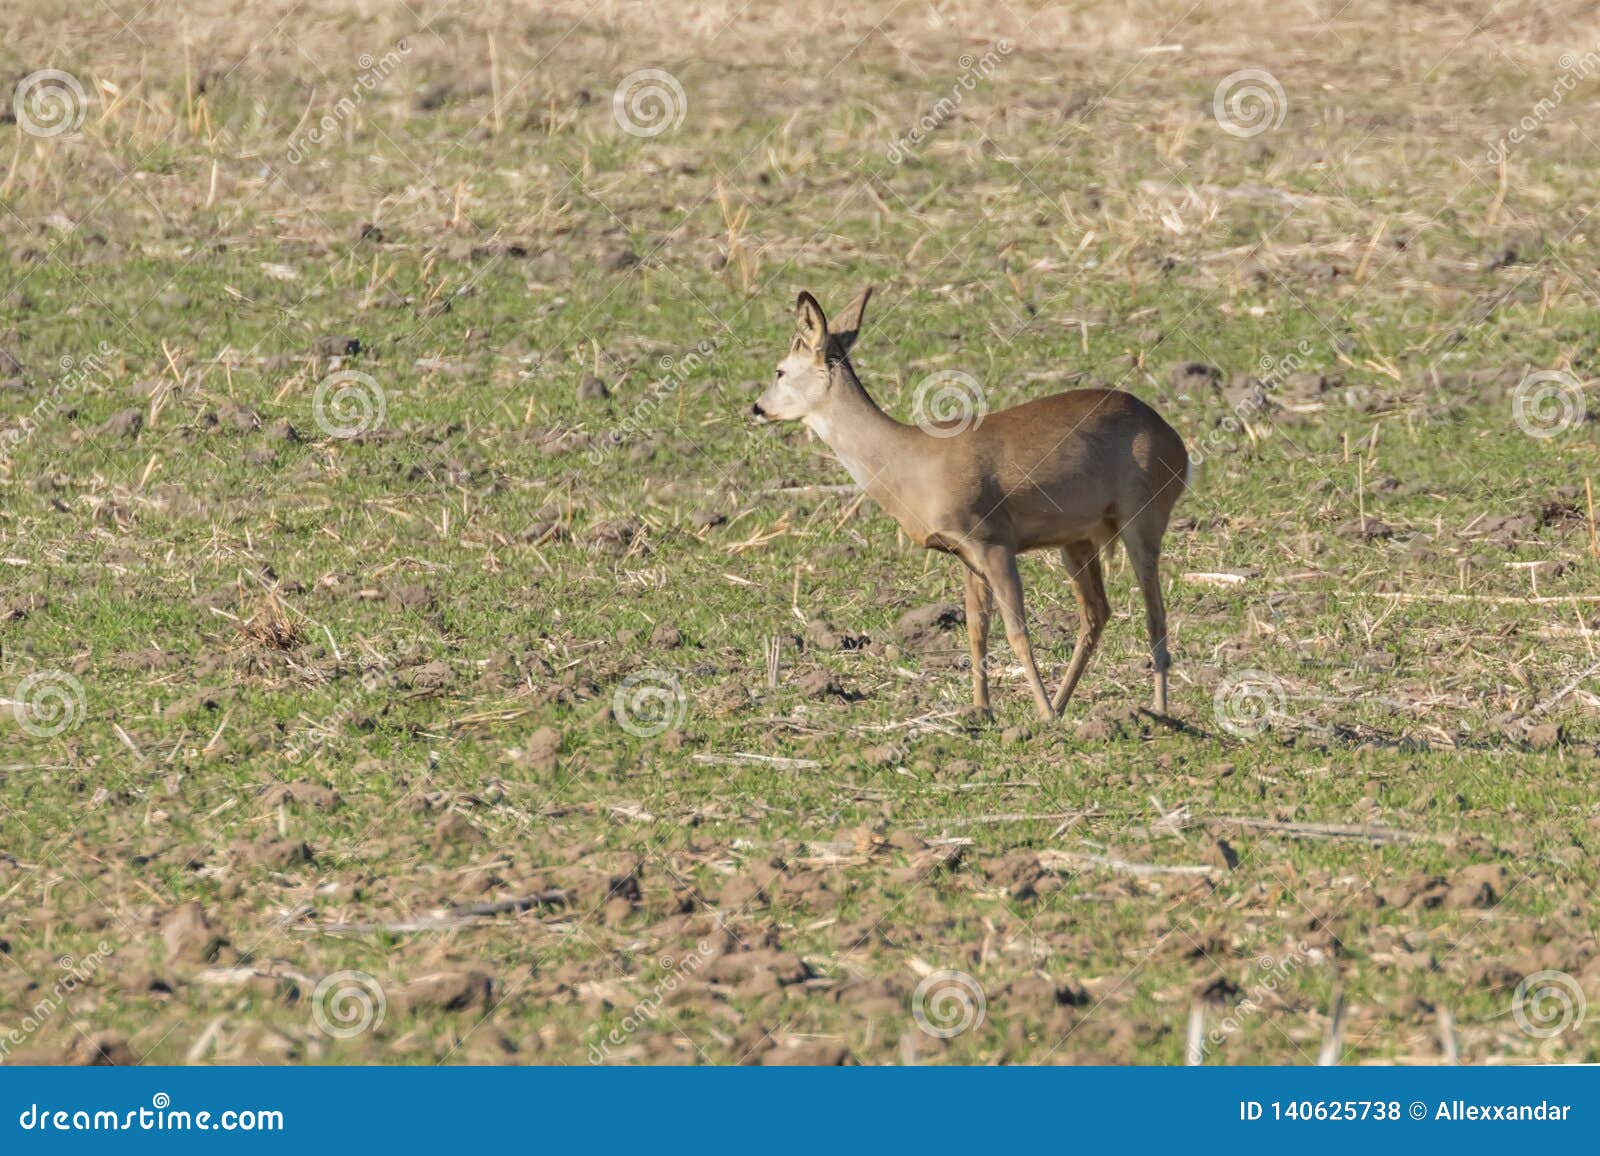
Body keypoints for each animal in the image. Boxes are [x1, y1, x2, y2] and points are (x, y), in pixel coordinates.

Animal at [753, 288, 1190, 723]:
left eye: (780, 370)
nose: (756, 408)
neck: (909, 462)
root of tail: (1178, 446)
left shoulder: (993, 540)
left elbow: (1017, 631)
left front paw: (1041, 714)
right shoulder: (965, 554)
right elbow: (977, 630)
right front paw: (981, 709)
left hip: (1143, 516)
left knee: (1154, 613)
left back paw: (1156, 710)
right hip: (1077, 539)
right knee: (1097, 613)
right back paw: (1068, 703)